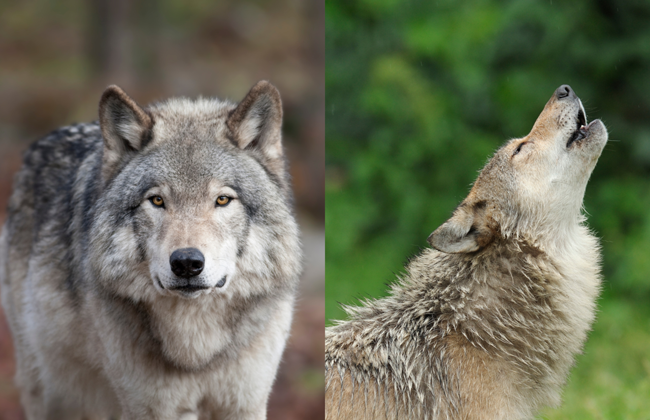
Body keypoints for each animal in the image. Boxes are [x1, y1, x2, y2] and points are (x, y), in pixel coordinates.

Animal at [0, 81, 302, 419]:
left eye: (223, 200)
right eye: (157, 200)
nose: (186, 262)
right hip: (59, 395)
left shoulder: (244, 404)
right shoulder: (151, 408)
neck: (195, 350)